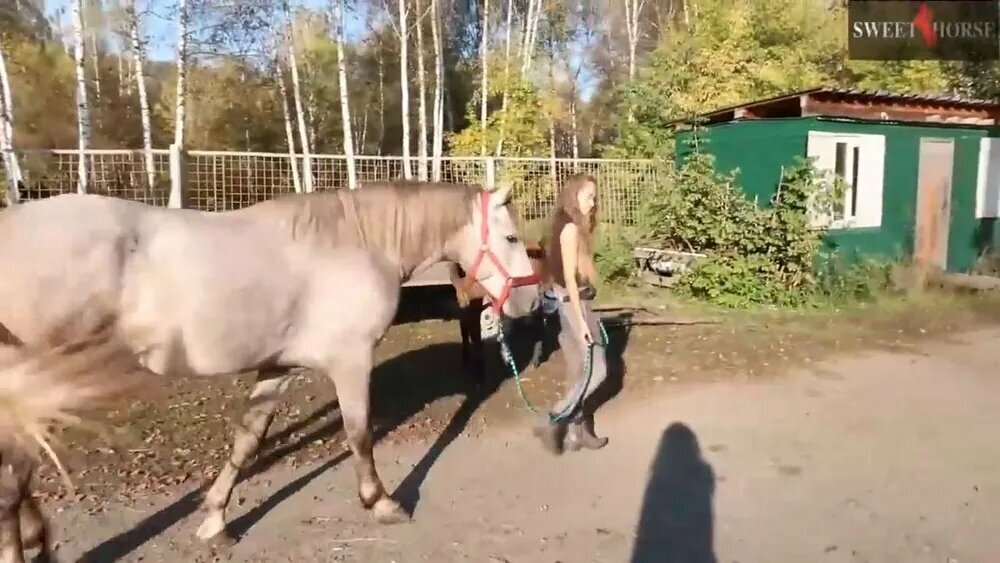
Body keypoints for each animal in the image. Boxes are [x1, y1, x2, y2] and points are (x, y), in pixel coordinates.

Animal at [0, 180, 541, 560]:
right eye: (511, 236)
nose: (532, 301)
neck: (359, 243)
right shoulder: (350, 360)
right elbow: (359, 433)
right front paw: (381, 502)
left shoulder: (277, 367)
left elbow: (247, 441)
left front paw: (216, 521)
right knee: (13, 478)